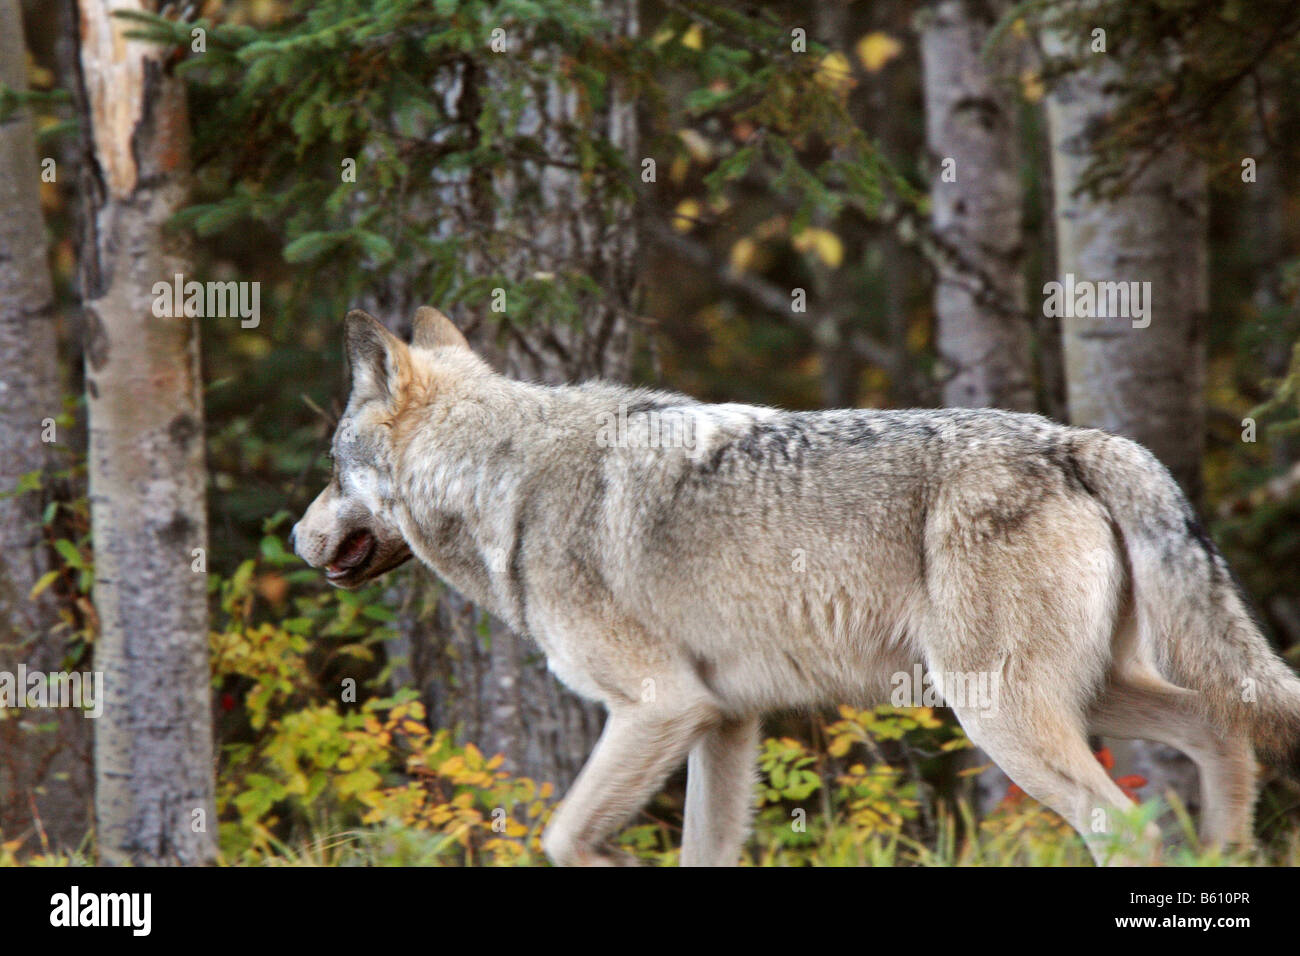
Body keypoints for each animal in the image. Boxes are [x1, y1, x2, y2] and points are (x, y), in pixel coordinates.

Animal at [292, 306, 1300, 865]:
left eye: (332, 470)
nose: (298, 538)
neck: (507, 480)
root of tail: (1083, 441)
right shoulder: (722, 720)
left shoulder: (659, 707)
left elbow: (561, 837)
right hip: (1084, 695)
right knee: (1221, 730)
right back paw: (1230, 855)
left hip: (1000, 713)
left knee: (1127, 825)